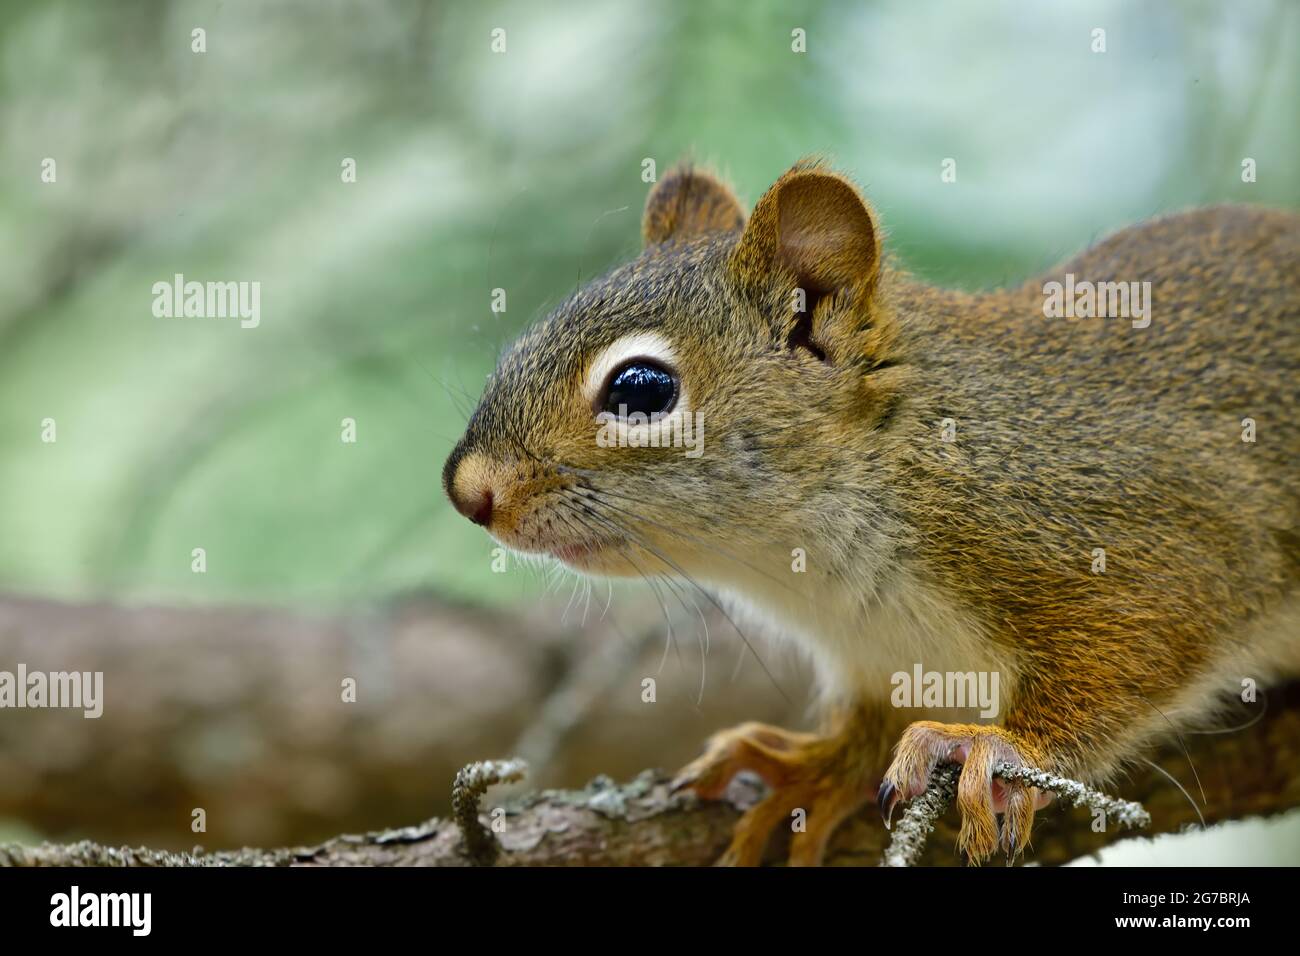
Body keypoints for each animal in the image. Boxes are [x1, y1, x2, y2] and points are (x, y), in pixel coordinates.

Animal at [444, 158, 1300, 865]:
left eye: (641, 389)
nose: (467, 491)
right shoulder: (885, 659)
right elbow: (872, 727)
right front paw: (814, 771)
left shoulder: (1141, 527)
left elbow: (1144, 639)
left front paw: (998, 744)